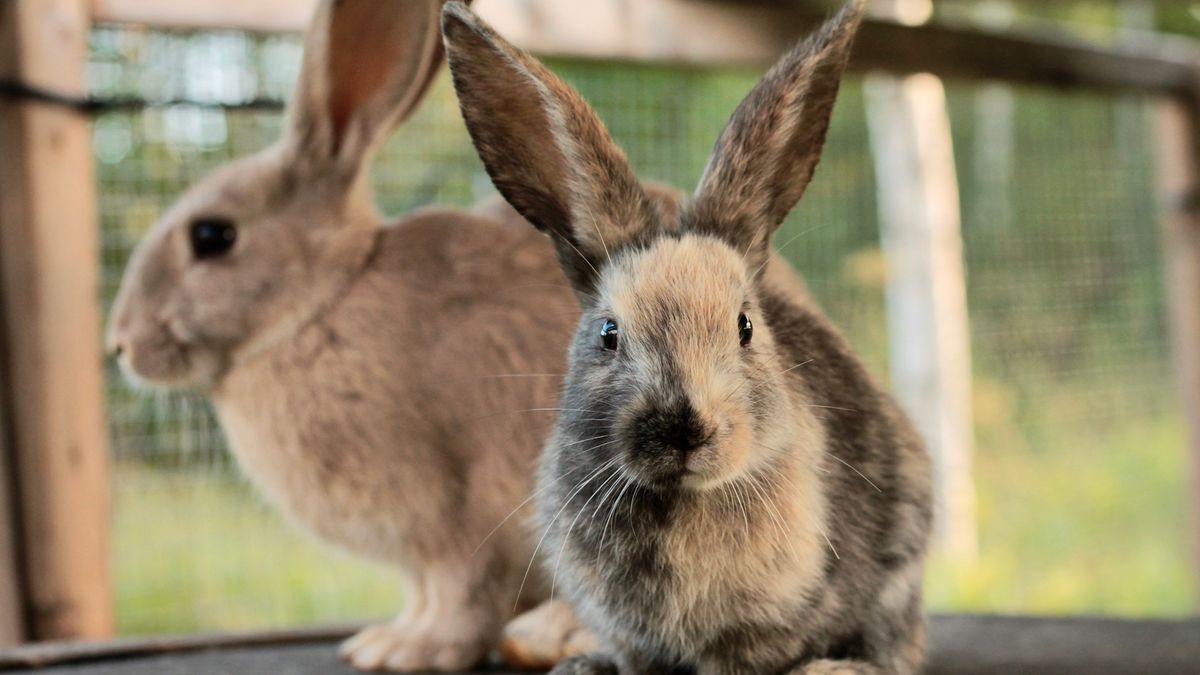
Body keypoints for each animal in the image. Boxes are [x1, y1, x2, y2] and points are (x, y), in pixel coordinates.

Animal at [106, 0, 589, 670]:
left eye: (211, 236)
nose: (121, 344)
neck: (319, 305)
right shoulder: (420, 553)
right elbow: (424, 592)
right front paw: (385, 639)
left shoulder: (460, 515)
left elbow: (463, 591)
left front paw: (409, 651)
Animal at [442, 0, 933, 673]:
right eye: (608, 333)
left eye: (745, 326)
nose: (683, 428)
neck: (680, 499)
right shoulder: (631, 634)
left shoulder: (755, 636)